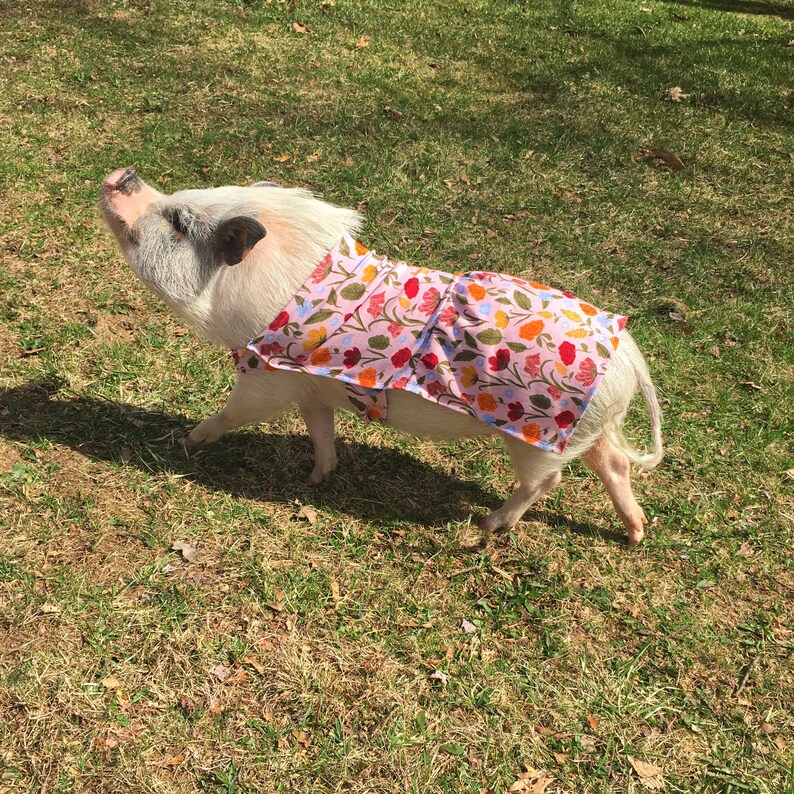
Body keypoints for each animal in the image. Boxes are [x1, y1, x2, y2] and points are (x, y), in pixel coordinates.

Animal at [99, 167, 663, 545]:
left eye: (178, 222)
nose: (121, 173)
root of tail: (629, 356)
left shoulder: (267, 380)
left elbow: (235, 413)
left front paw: (187, 440)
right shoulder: (310, 387)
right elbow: (320, 429)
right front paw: (316, 479)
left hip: (536, 439)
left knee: (549, 481)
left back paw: (487, 526)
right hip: (592, 430)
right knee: (614, 463)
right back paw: (636, 534)